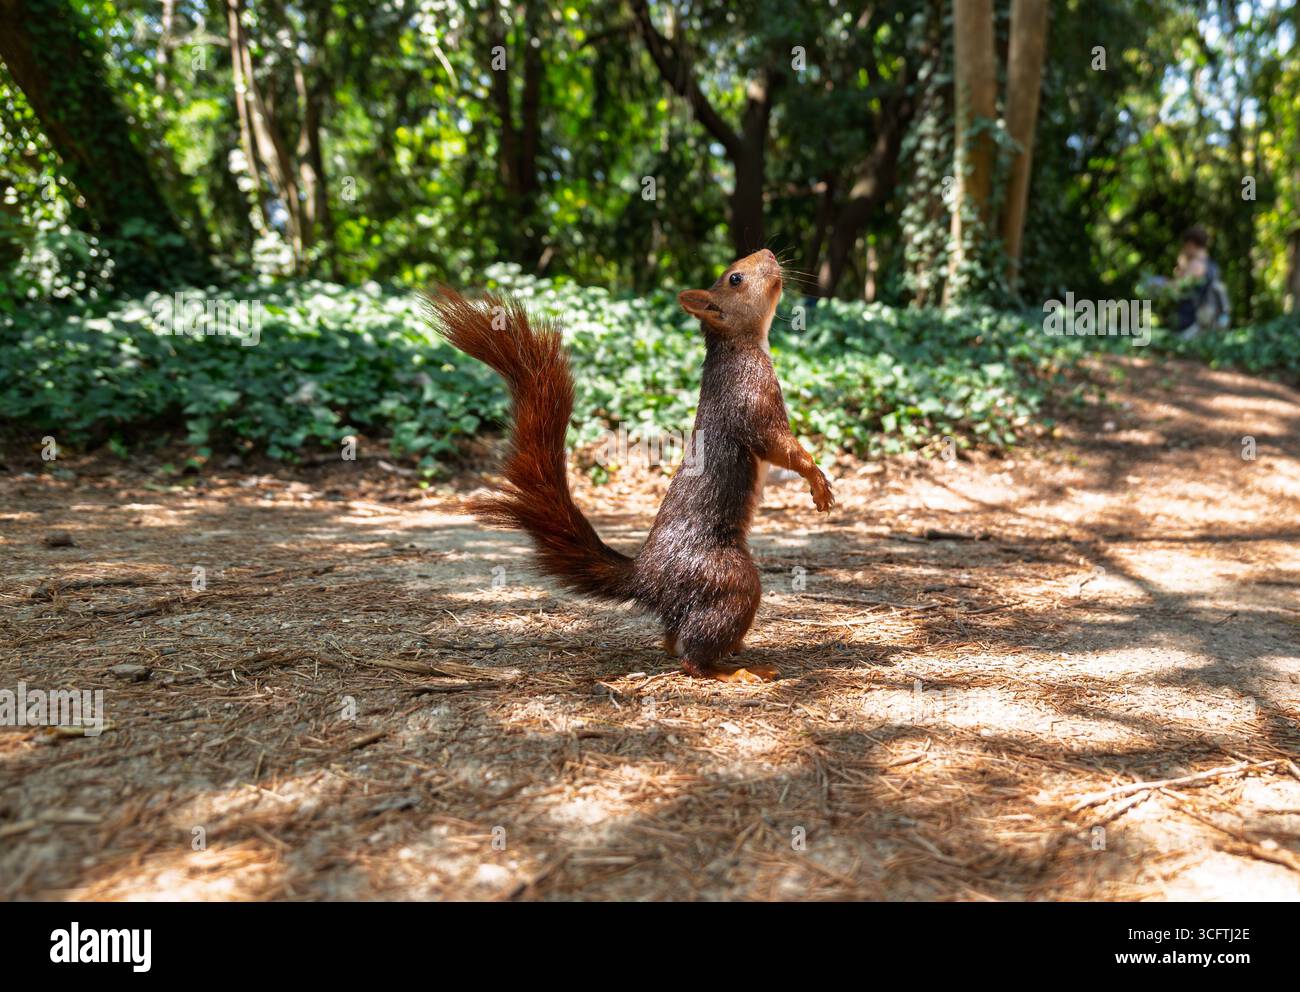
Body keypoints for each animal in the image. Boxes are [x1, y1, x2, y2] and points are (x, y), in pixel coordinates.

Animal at [427, 248, 833, 683]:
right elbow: (777, 444)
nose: (770, 253)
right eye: (735, 279)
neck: (740, 344)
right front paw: (818, 482)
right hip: (730, 578)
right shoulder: (749, 393)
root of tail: (646, 579)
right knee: (693, 657)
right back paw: (735, 670)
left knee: (673, 639)